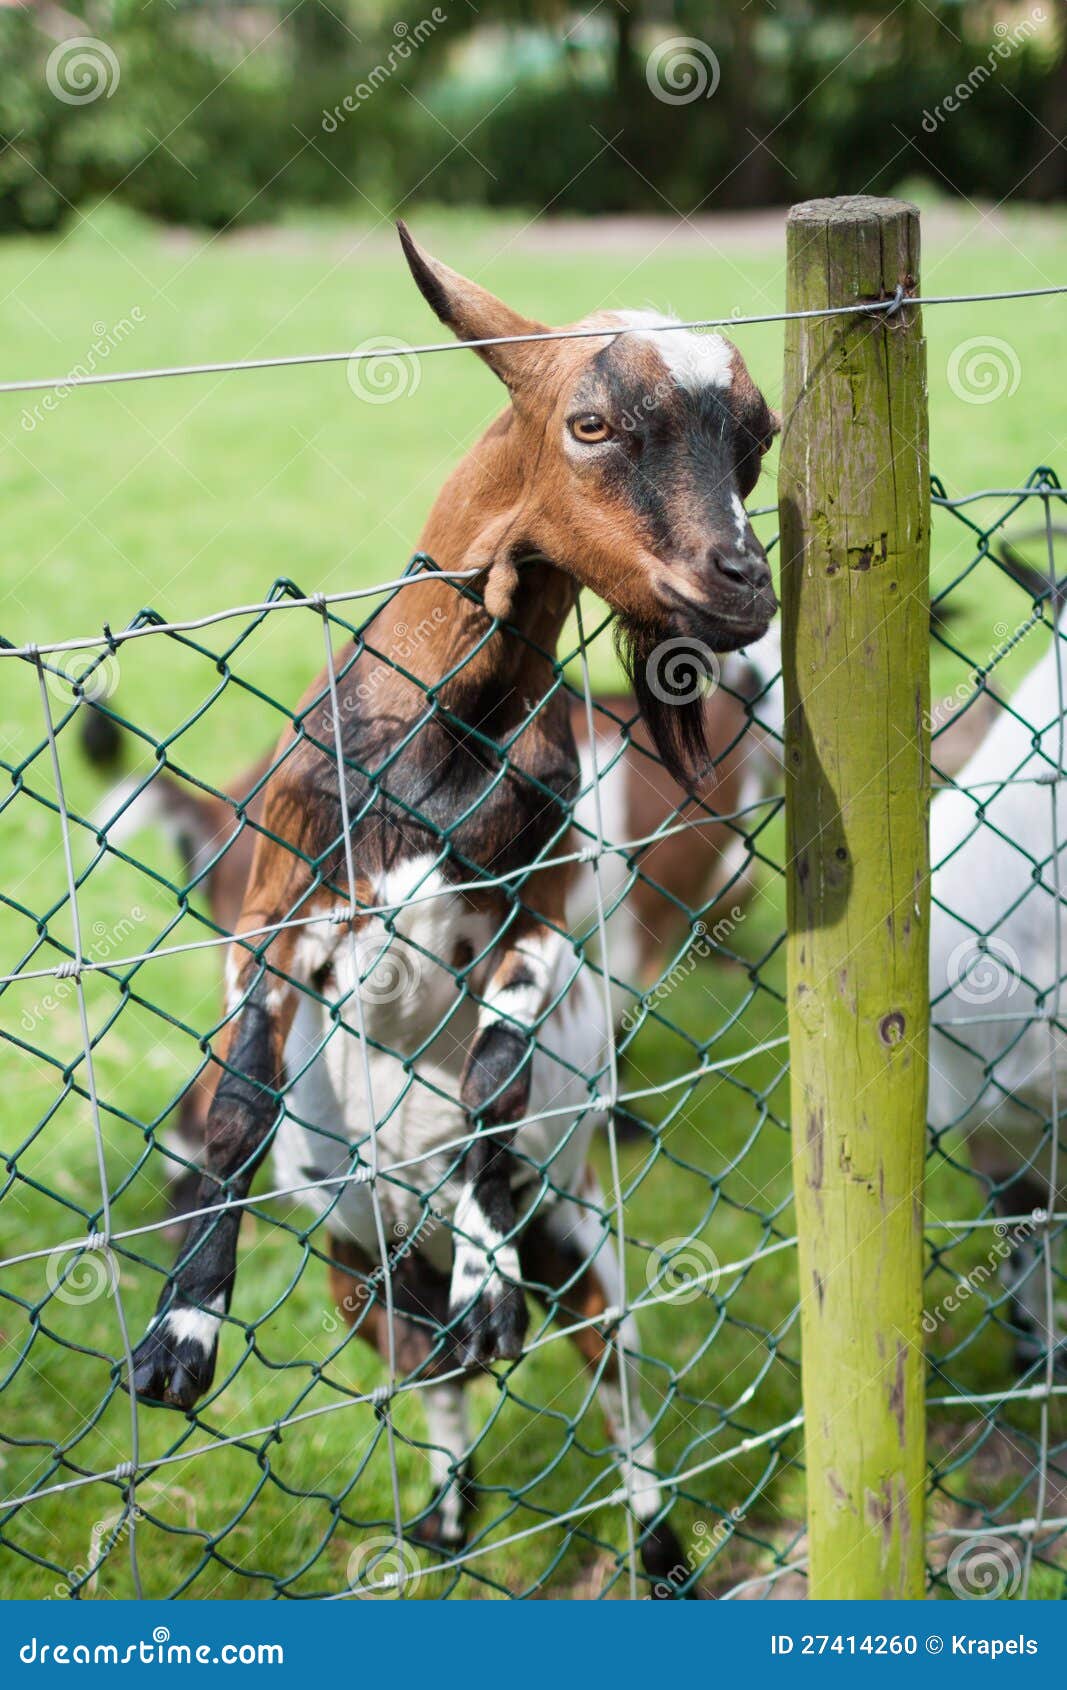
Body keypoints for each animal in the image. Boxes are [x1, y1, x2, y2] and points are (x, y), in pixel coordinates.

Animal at [116, 225, 780, 1583]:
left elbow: (489, 1084)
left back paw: (656, 1546)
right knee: (425, 1373)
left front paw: (485, 1291)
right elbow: (235, 1112)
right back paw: (446, 1512)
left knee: (608, 1375)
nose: (741, 586)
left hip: (577, 1243)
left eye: (757, 439)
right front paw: (179, 1339)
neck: (445, 731)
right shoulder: (273, 917)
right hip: (355, 1266)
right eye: (589, 422)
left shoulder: (538, 922)